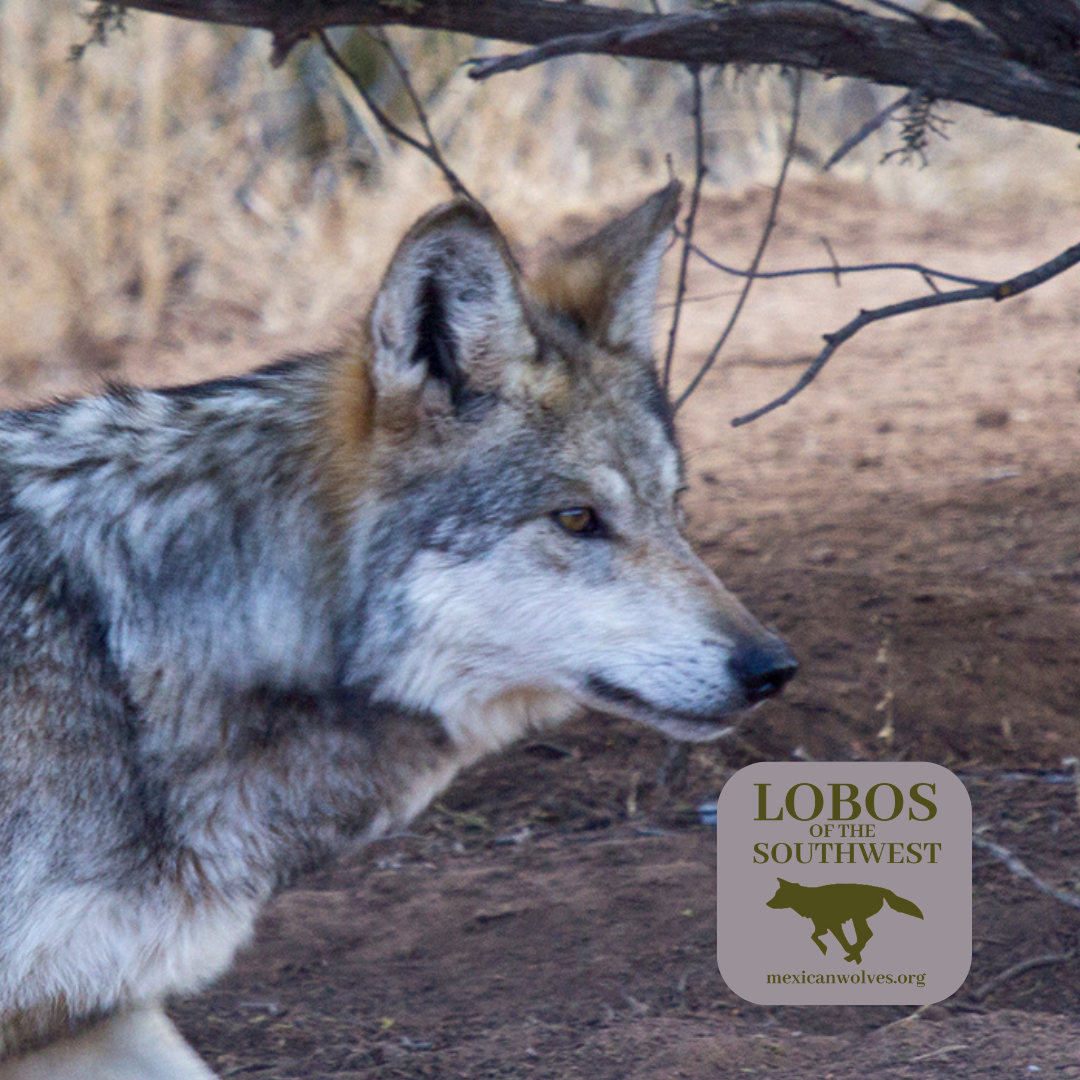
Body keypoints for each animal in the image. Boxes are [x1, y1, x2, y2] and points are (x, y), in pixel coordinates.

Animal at [766, 878, 924, 964]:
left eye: (779, 894)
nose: (767, 903)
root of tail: (881, 889)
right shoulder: (823, 927)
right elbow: (814, 936)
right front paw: (825, 949)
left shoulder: (834, 925)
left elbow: (843, 943)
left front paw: (848, 953)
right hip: (857, 918)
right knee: (867, 934)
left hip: (857, 917)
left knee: (866, 934)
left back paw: (852, 955)